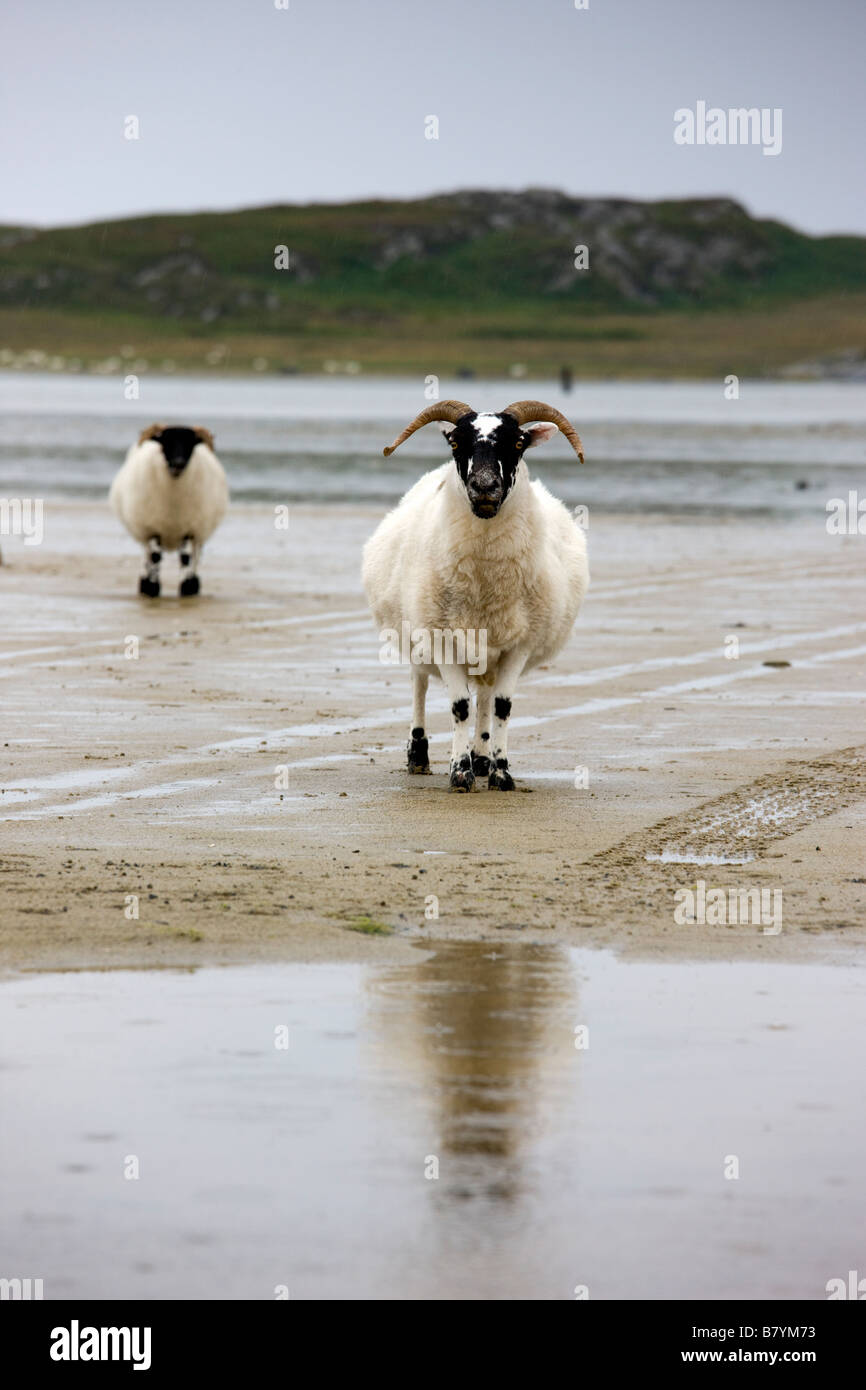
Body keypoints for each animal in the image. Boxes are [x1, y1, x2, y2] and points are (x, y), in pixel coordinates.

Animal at [109, 424, 228, 597]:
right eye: (165, 441)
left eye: (191, 443)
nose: (178, 463)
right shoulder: (153, 527)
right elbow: (155, 556)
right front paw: (152, 586)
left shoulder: (189, 528)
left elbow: (186, 557)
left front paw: (187, 587)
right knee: (146, 554)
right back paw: (144, 581)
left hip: (200, 530)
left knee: (196, 555)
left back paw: (194, 582)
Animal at [362, 399, 588, 791]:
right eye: (455, 442)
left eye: (518, 443)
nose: (484, 487)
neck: (485, 584)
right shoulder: (441, 639)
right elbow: (459, 706)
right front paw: (459, 772)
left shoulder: (518, 644)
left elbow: (501, 706)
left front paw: (499, 771)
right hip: (416, 632)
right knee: (420, 685)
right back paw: (419, 755)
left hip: (490, 648)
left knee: (484, 694)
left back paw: (482, 757)